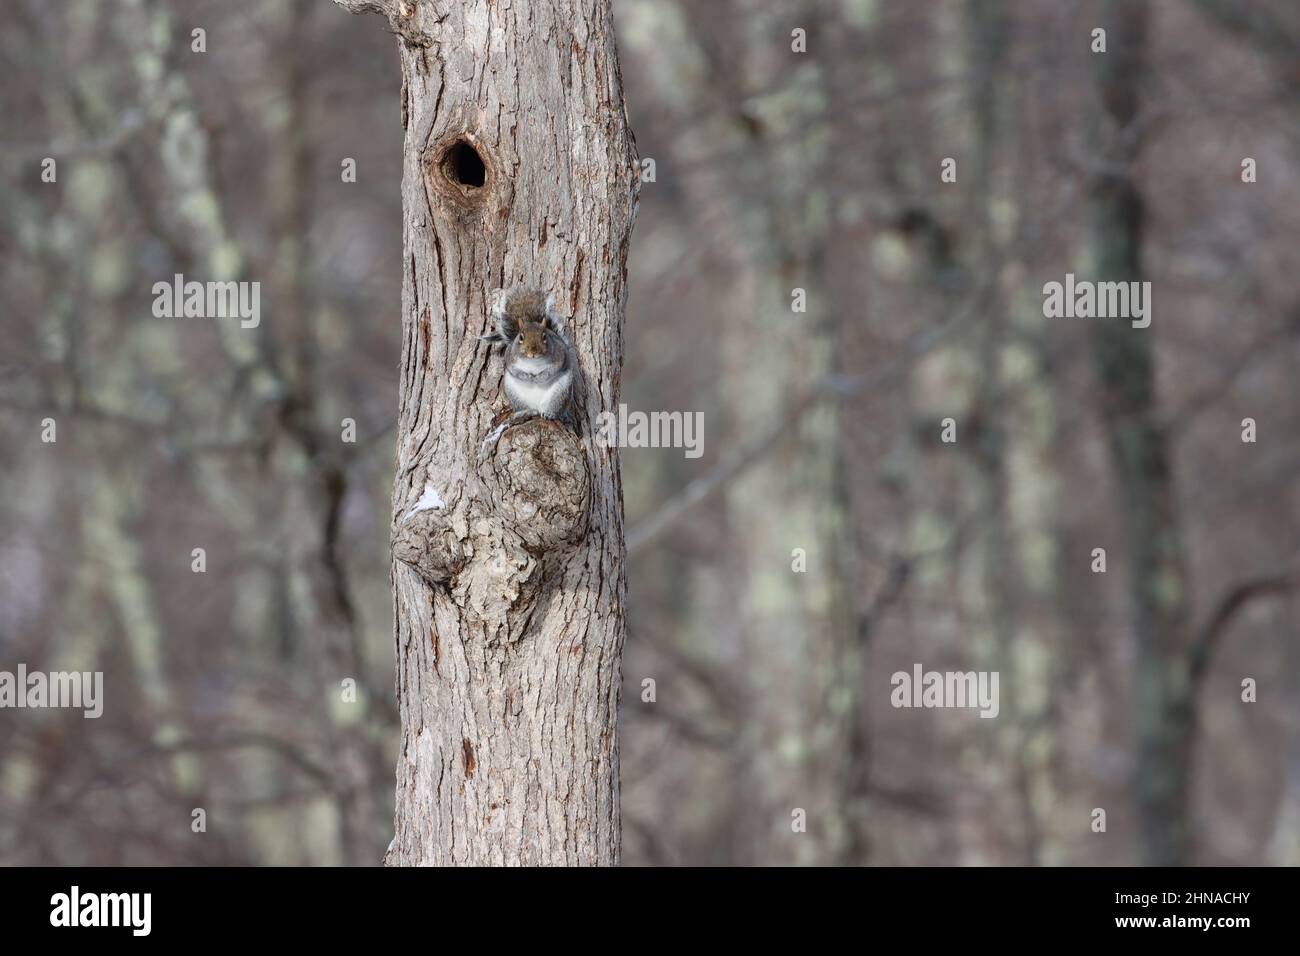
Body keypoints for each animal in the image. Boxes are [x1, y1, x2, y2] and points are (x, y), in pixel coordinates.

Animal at [479, 287, 578, 439]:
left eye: (544, 336)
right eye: (521, 337)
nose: (533, 351)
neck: (533, 362)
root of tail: (537, 408)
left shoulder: (559, 356)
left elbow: (553, 369)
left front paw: (539, 377)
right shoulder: (510, 359)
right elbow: (514, 371)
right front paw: (527, 377)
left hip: (560, 393)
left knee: (554, 408)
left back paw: (549, 413)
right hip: (514, 394)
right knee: (527, 408)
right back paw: (526, 412)